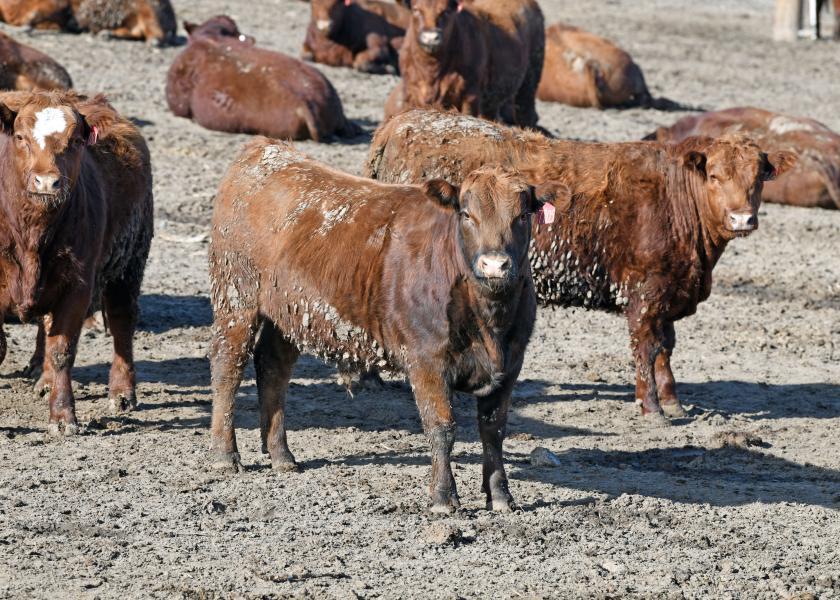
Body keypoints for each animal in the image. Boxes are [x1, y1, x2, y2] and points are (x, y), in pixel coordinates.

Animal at [0, 0, 176, 45]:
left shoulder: (57, 4)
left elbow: (34, 15)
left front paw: (25, 28)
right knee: (135, 32)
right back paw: (107, 33)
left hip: (147, 9)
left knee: (155, 35)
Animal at [0, 90, 153, 434]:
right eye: (20, 137)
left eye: (75, 141)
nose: (46, 183)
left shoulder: (77, 285)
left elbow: (62, 350)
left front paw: (63, 417)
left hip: (129, 264)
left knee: (122, 321)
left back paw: (122, 392)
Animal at [208, 138, 553, 513]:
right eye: (466, 213)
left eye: (522, 215)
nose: (494, 264)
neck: (489, 320)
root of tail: (265, 149)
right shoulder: (426, 361)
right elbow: (441, 428)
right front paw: (443, 497)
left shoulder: (510, 364)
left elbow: (494, 431)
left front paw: (502, 495)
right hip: (236, 296)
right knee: (228, 367)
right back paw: (225, 455)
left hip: (288, 313)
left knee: (272, 367)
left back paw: (282, 456)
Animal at [366, 109, 795, 423]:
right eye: (715, 175)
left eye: (759, 178)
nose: (742, 218)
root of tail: (403, 122)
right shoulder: (644, 293)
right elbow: (647, 348)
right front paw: (652, 408)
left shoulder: (667, 292)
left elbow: (666, 348)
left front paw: (672, 400)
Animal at [386, 0, 545, 128]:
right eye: (416, 9)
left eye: (446, 11)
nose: (430, 37)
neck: (432, 71)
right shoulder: (411, 92)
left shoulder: (470, 95)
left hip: (530, 78)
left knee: (526, 112)